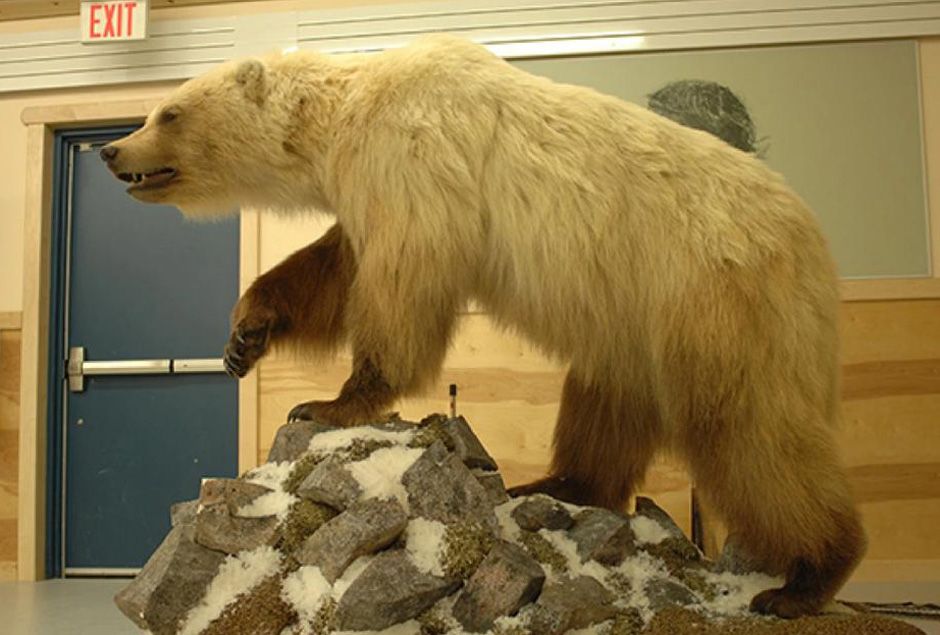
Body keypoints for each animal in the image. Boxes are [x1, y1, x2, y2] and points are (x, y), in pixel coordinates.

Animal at [100, 34, 865, 618]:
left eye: (168, 110)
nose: (112, 150)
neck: (348, 113)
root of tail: (817, 250)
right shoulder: (372, 186)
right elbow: (335, 264)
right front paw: (245, 334)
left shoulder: (414, 162)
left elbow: (399, 285)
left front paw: (328, 401)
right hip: (632, 322)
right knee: (608, 398)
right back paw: (556, 484)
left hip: (712, 295)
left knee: (748, 426)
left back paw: (806, 577)